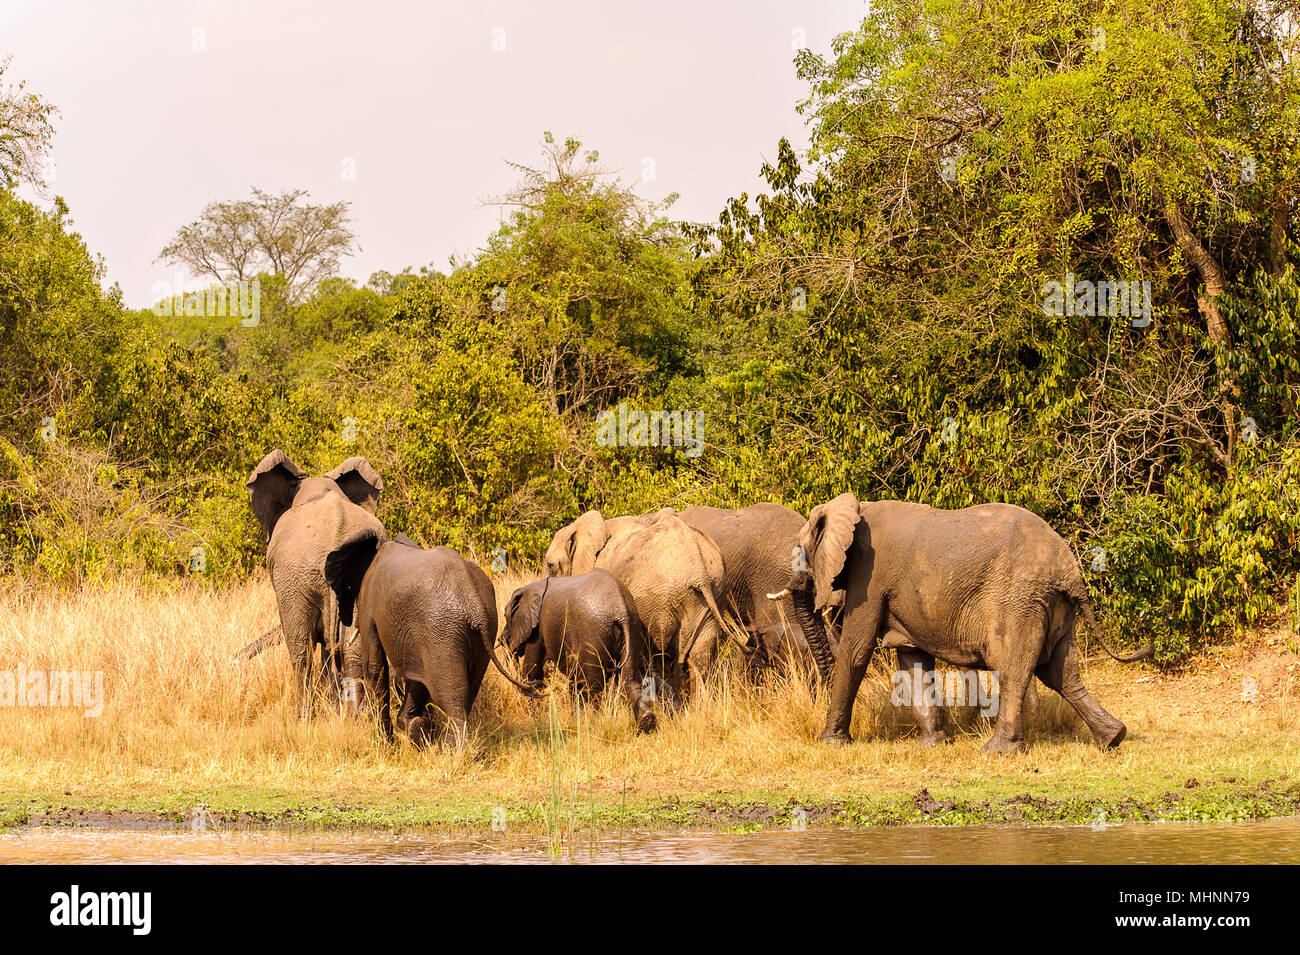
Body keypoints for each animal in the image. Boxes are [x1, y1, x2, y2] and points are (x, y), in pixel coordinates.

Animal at [247, 450, 386, 717]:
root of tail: (335, 535)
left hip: (293, 577)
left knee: (300, 650)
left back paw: (302, 717)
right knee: (351, 650)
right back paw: (356, 718)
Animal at [322, 530, 539, 745]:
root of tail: (473, 600)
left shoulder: (369, 606)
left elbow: (375, 668)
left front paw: (386, 743)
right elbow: (415, 677)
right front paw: (413, 728)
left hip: (442, 631)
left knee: (451, 696)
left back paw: (452, 751)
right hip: (483, 628)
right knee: (469, 689)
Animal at [503, 570, 657, 732]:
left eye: (506, 618)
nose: (503, 640)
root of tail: (621, 610)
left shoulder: (538, 630)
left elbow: (532, 671)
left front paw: (536, 717)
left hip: (593, 634)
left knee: (595, 687)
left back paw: (594, 724)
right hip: (633, 629)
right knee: (630, 678)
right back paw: (647, 721)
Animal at [543, 510, 728, 698]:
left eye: (550, 566)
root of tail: (698, 569)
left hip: (655, 602)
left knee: (655, 654)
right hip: (713, 593)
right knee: (700, 658)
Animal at [782, 492, 1152, 753]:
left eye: (801, 553)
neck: (854, 508)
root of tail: (1070, 571)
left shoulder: (870, 576)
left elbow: (856, 652)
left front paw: (828, 743)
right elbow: (912, 661)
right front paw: (932, 745)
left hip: (1020, 599)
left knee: (1015, 669)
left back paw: (997, 750)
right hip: (1053, 604)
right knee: (1061, 673)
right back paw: (1113, 738)